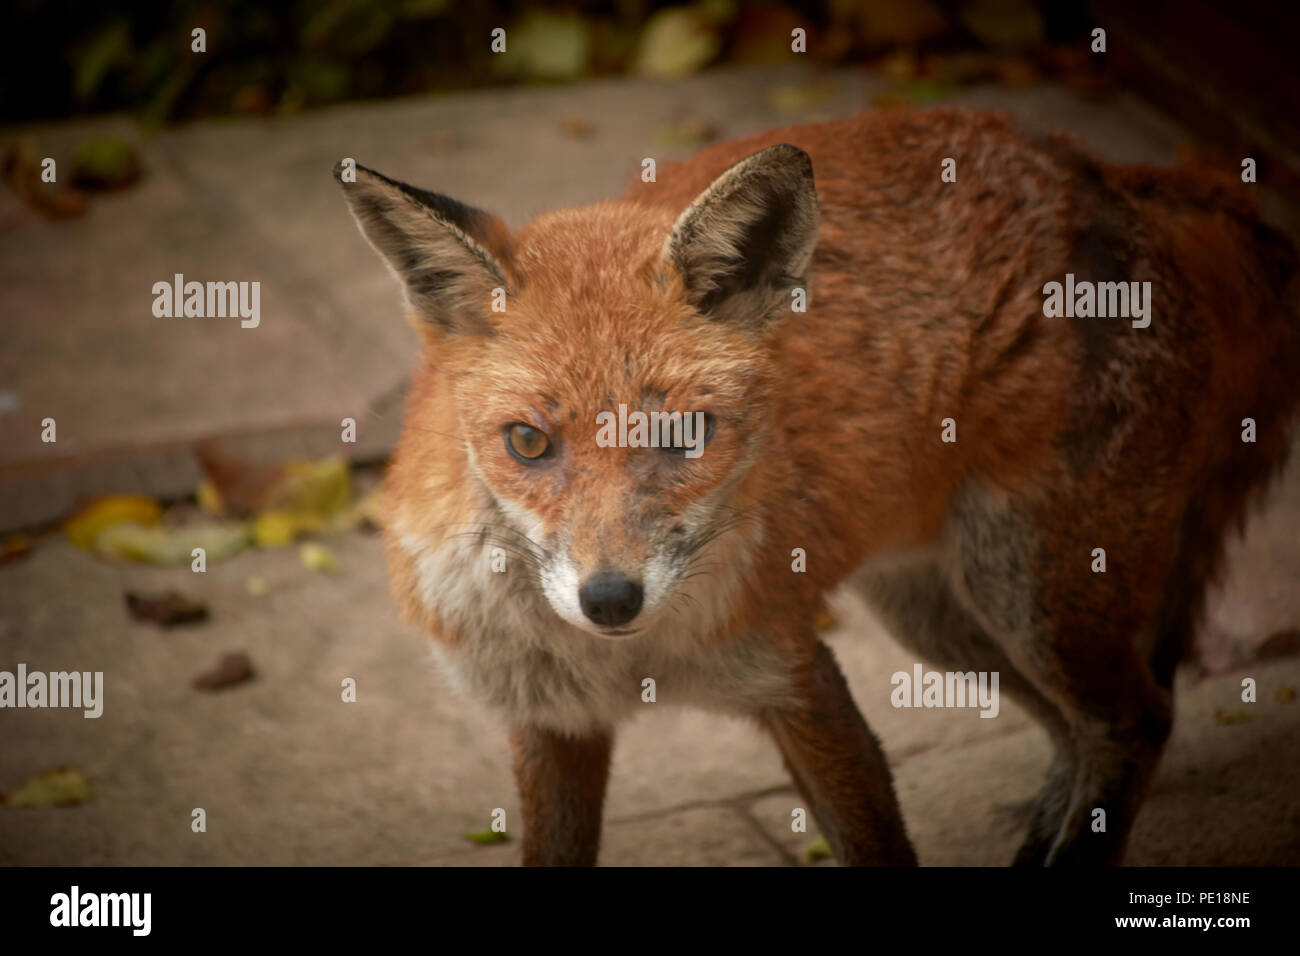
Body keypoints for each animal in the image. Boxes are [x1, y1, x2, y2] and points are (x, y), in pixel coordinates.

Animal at [334, 108, 1300, 866]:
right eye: (529, 442)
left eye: (685, 435)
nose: (609, 599)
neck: (629, 666)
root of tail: (1099, 170)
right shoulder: (552, 726)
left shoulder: (799, 681)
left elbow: (875, 838)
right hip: (942, 617)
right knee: (1083, 726)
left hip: (1026, 590)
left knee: (1139, 718)